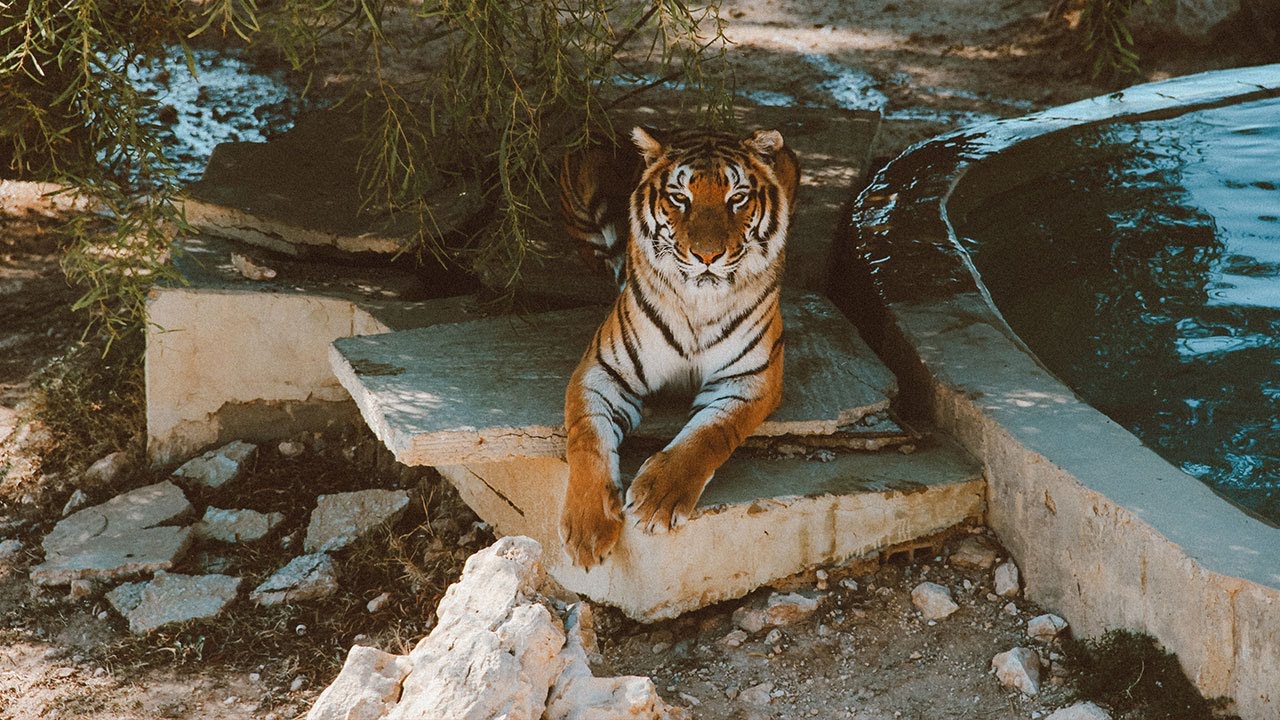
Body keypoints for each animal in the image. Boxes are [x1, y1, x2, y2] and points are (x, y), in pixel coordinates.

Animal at [558, 126, 801, 569]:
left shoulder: (750, 380)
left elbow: (709, 434)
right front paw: (586, 528)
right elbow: (586, 438)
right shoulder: (601, 369)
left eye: (736, 198)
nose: (707, 255)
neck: (697, 305)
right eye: (679, 197)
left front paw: (656, 499)